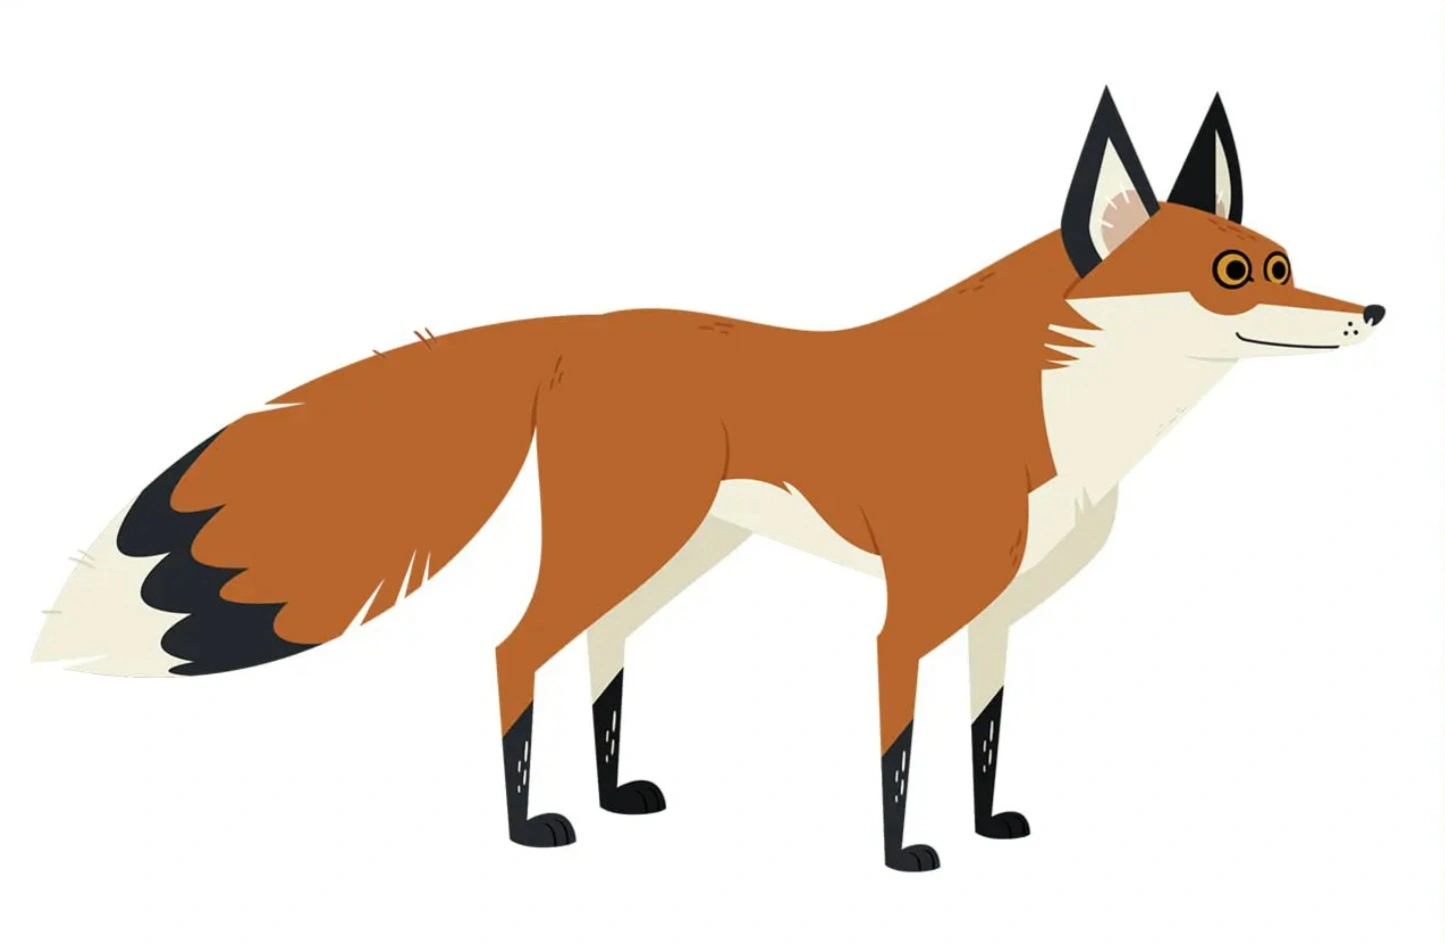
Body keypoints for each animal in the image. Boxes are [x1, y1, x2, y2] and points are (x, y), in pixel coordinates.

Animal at [33, 88, 1384, 872]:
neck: (1059, 408)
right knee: (515, 651)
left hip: (668, 556)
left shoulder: (998, 613)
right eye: (1230, 271)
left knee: (597, 659)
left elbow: (983, 738)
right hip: (623, 541)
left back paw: (613, 794)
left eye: (1281, 260)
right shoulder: (907, 612)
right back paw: (528, 829)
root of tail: (576, 326)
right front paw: (903, 860)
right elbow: (898, 750)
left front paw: (991, 827)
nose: (1369, 310)